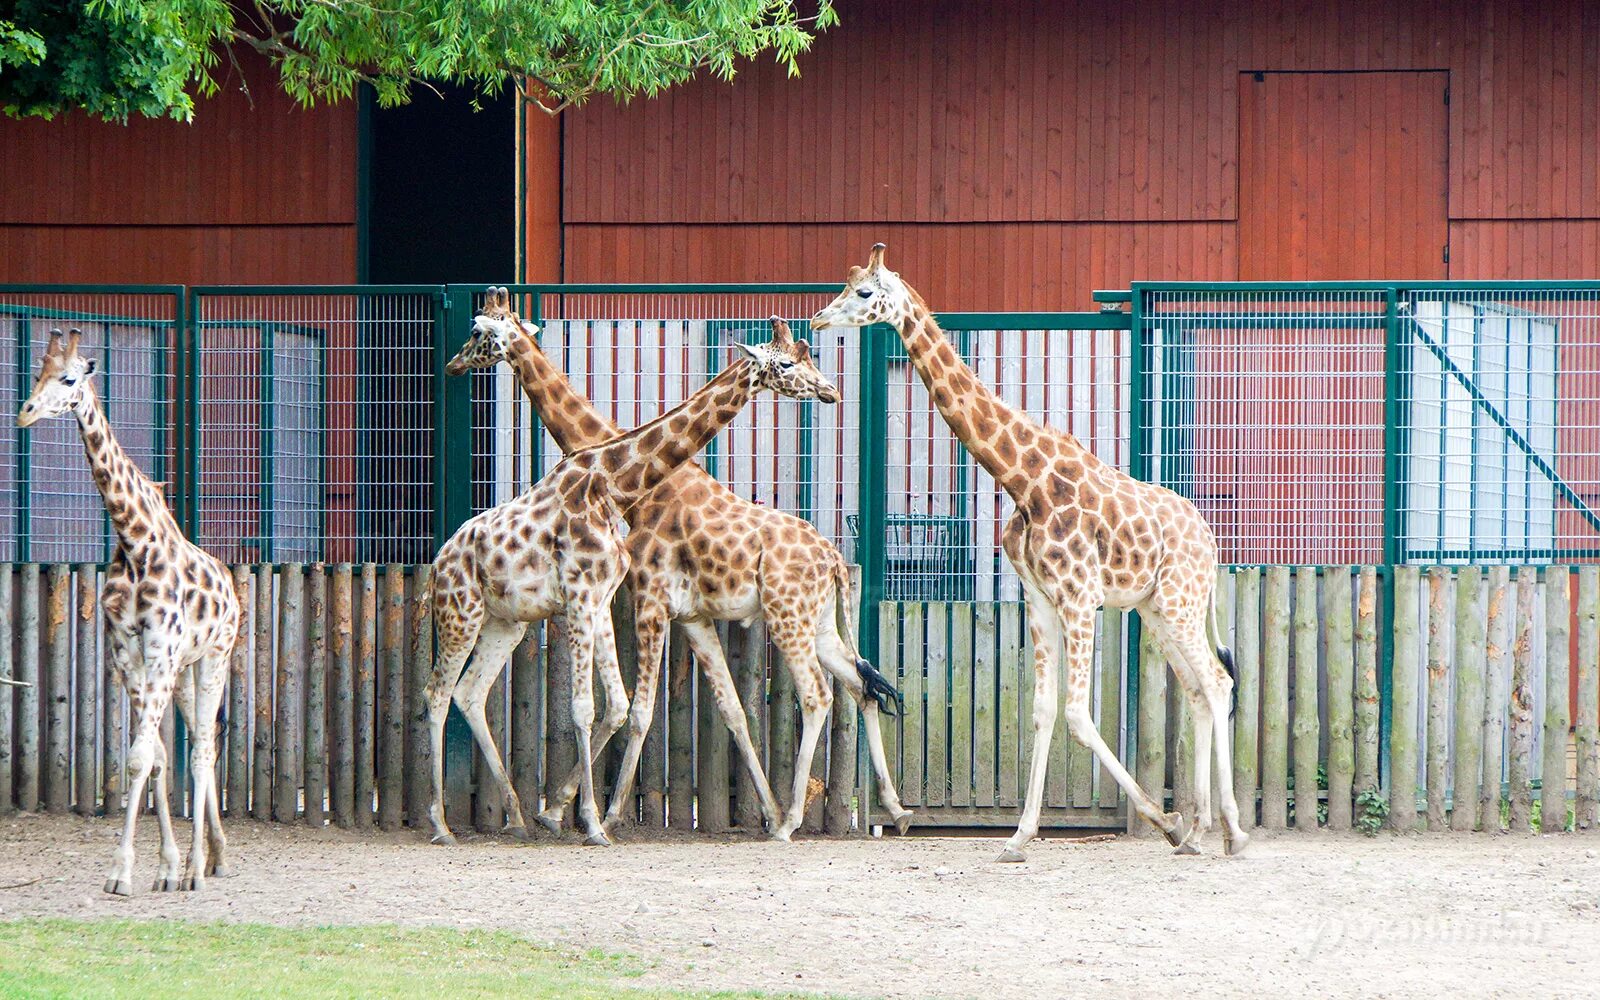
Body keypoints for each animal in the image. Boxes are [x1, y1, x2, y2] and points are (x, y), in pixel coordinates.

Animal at [17, 331, 240, 896]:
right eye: (36, 373)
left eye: (69, 378)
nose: (25, 413)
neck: (135, 542)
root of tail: (231, 586)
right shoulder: (128, 655)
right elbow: (152, 757)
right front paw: (162, 866)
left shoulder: (159, 653)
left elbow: (143, 757)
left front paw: (124, 872)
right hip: (183, 672)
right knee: (193, 745)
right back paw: (212, 858)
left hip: (214, 658)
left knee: (204, 750)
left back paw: (201, 869)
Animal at [448, 291, 915, 844]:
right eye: (788, 362)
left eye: (477, 333)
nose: (830, 391)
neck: (640, 491)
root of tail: (837, 561)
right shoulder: (692, 615)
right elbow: (732, 711)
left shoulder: (650, 600)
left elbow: (641, 710)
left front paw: (598, 814)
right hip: (818, 625)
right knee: (863, 687)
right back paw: (894, 810)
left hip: (788, 620)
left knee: (818, 696)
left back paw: (792, 822)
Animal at [812, 248, 1248, 857]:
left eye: (863, 293)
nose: (816, 321)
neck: (1023, 480)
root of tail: (1210, 541)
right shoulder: (1041, 599)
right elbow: (1042, 712)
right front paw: (1019, 836)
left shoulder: (1079, 598)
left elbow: (1078, 715)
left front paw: (1161, 820)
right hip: (1158, 608)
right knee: (1199, 689)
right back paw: (1203, 827)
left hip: (1180, 604)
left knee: (1217, 681)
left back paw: (1230, 829)